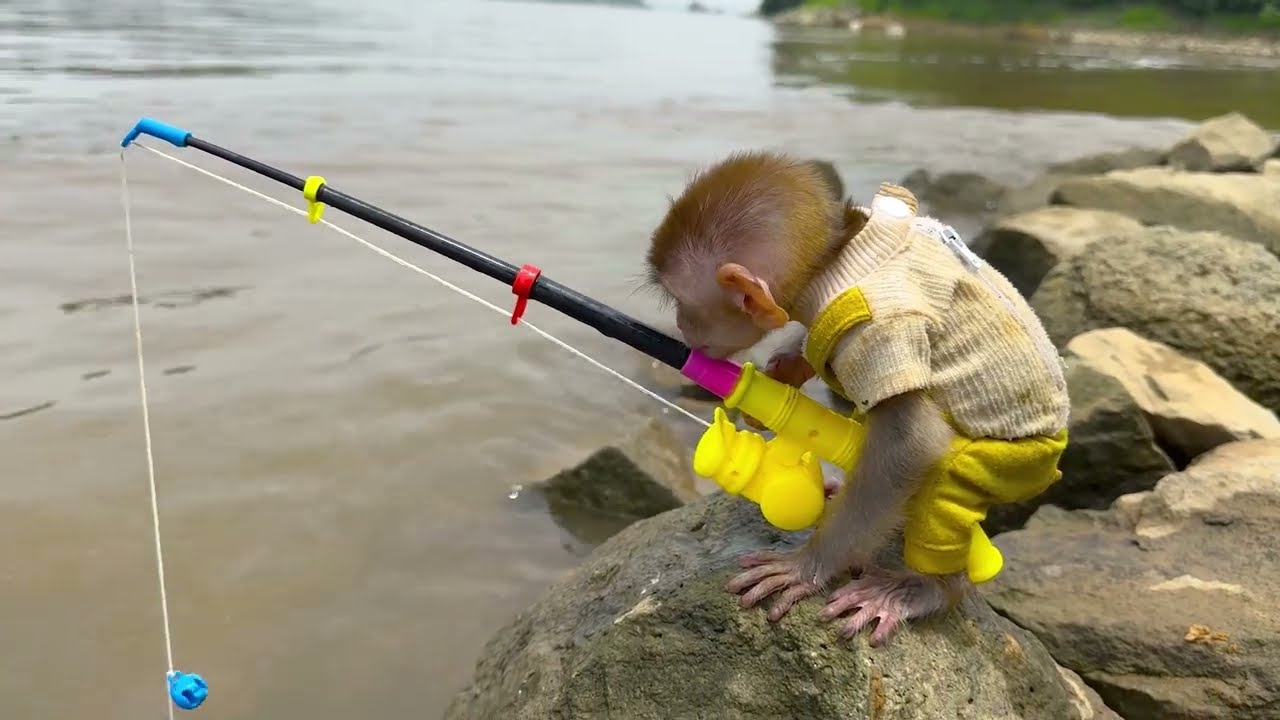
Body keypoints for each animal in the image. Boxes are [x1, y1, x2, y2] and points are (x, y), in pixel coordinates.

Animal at [644, 151, 1070, 647]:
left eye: (682, 303)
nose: (679, 323)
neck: (835, 262)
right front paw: (786, 367)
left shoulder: (879, 334)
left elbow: (912, 444)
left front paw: (806, 569)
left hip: (1012, 463)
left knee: (943, 488)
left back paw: (924, 589)